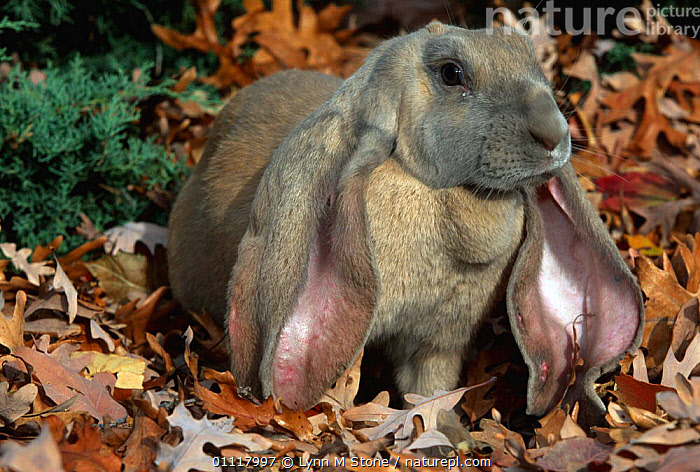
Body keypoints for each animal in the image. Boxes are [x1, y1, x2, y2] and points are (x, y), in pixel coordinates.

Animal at [168, 21, 644, 433]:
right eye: (452, 73)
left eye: (526, 52)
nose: (553, 135)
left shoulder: (438, 344)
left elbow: (430, 391)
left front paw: (449, 433)